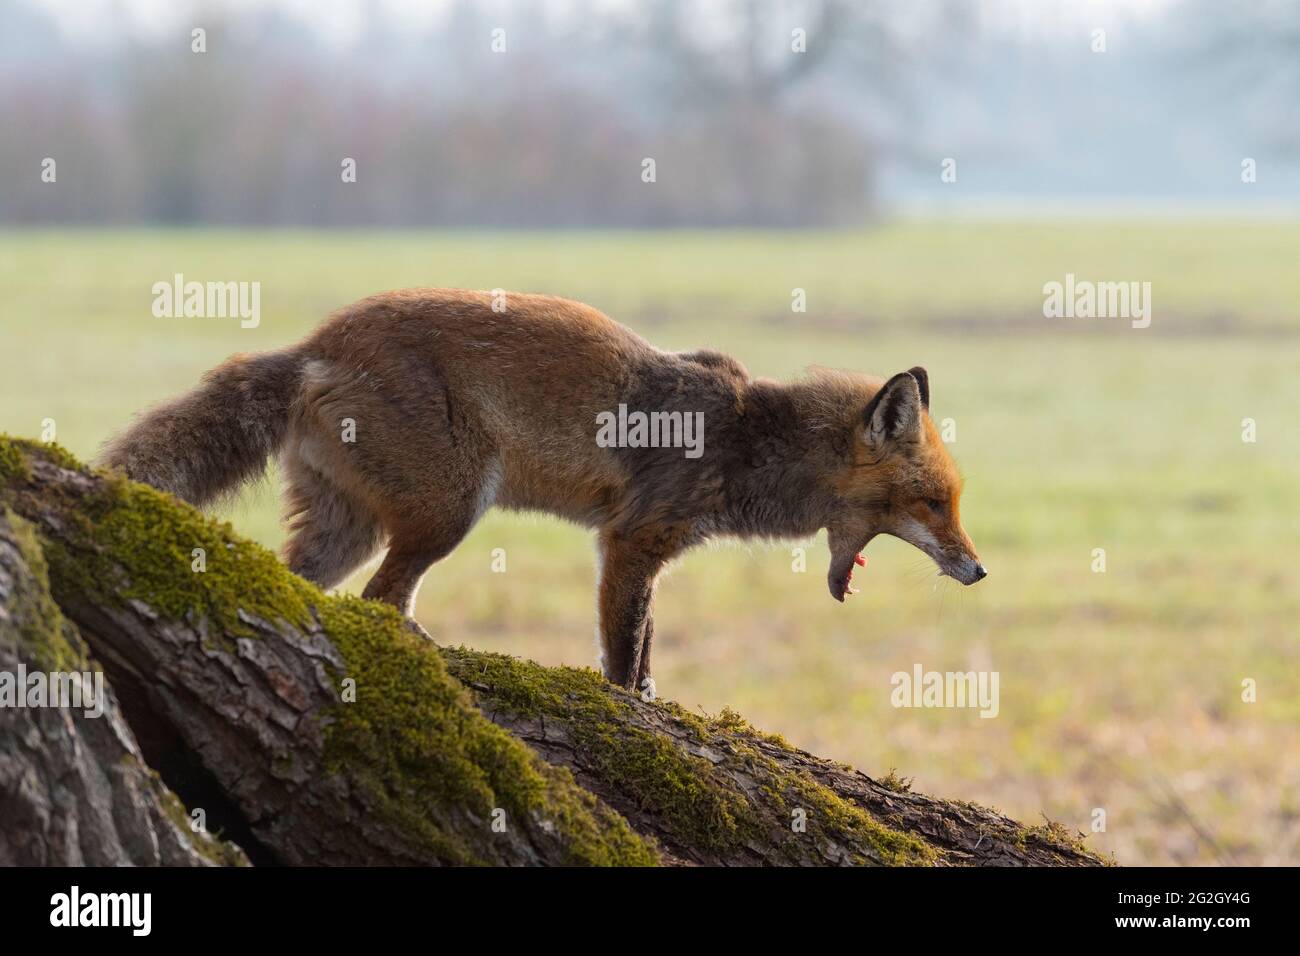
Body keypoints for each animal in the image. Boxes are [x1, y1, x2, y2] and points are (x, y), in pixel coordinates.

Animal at [100, 289, 986, 700]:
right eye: (933, 503)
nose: (978, 572)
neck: (743, 436)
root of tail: (315, 344)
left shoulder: (643, 549)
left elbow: (647, 650)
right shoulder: (630, 541)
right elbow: (623, 657)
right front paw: (631, 716)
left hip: (344, 533)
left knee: (307, 588)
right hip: (448, 512)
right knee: (384, 601)